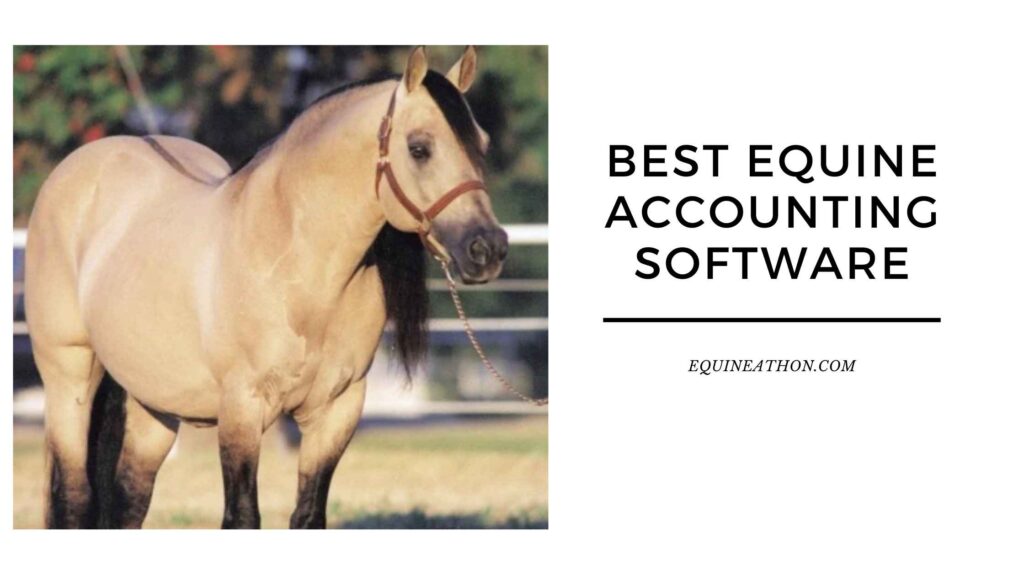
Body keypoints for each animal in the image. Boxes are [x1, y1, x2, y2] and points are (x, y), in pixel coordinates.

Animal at [24, 46, 508, 529]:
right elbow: (241, 516)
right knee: (74, 497)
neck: (297, 265)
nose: (488, 248)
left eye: (481, 145)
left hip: (152, 404)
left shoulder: (337, 411)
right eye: (419, 148)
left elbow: (309, 514)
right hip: (69, 379)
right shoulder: (242, 408)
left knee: (129, 498)